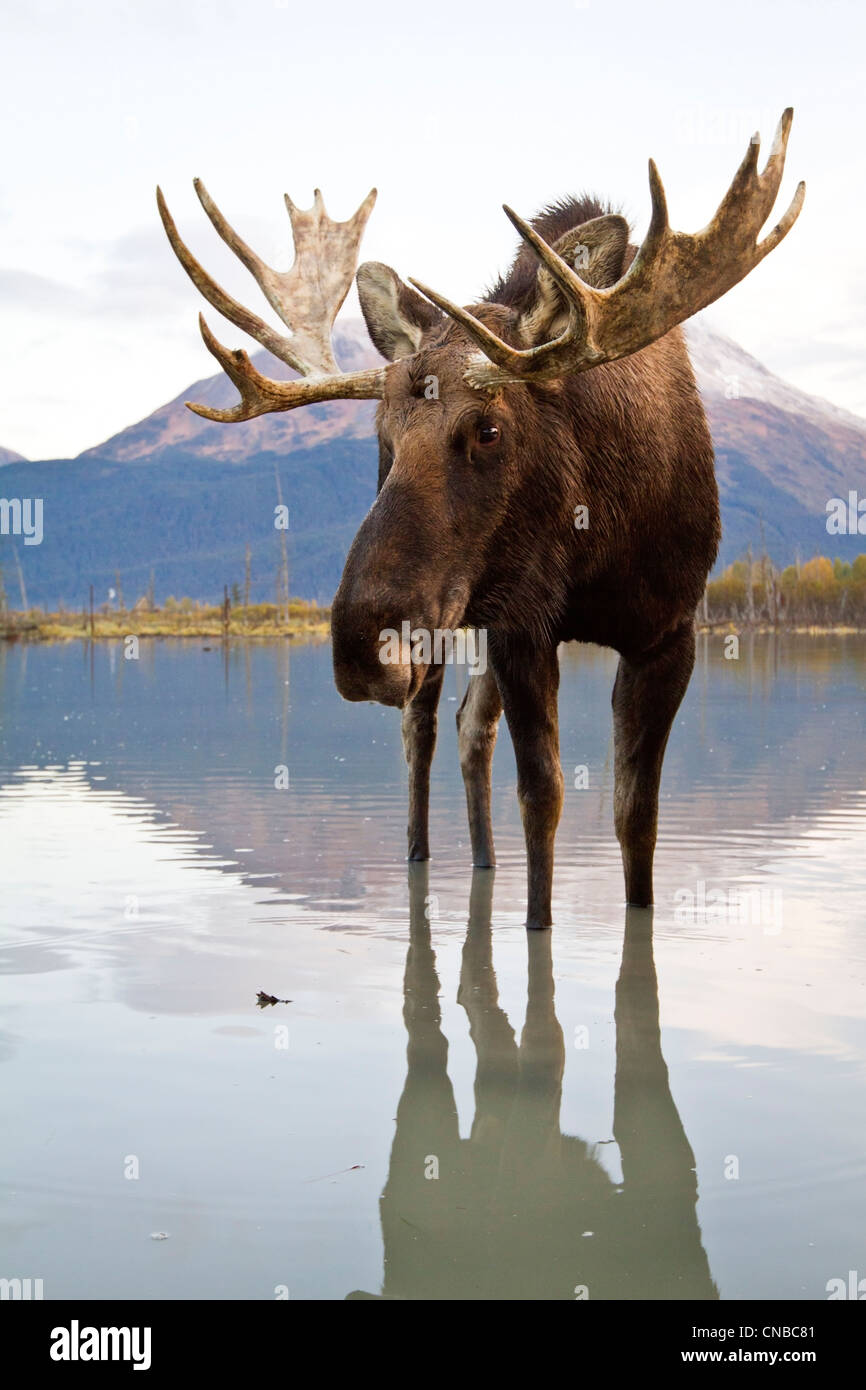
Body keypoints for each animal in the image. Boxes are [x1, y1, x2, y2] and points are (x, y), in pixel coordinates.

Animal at [157, 109, 804, 929]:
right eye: (383, 439)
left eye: (489, 428)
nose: (363, 643)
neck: (598, 532)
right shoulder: (522, 625)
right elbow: (544, 797)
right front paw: (536, 922)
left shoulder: (668, 631)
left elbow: (636, 817)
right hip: (450, 624)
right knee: (427, 733)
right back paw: (423, 854)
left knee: (471, 729)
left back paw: (483, 865)